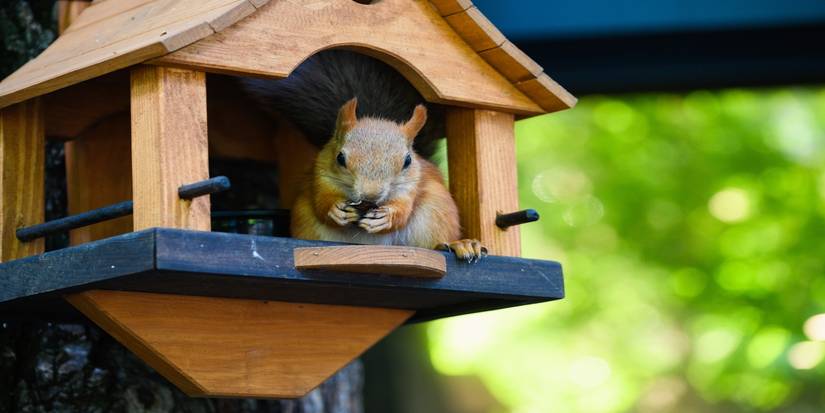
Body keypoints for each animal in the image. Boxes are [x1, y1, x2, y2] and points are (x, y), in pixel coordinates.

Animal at [242, 50, 486, 261]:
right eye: (340, 158)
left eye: (407, 161)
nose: (370, 196)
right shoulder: (321, 175)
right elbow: (321, 201)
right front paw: (335, 210)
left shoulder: (411, 185)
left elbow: (403, 209)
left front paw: (388, 216)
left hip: (437, 212)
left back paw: (461, 244)